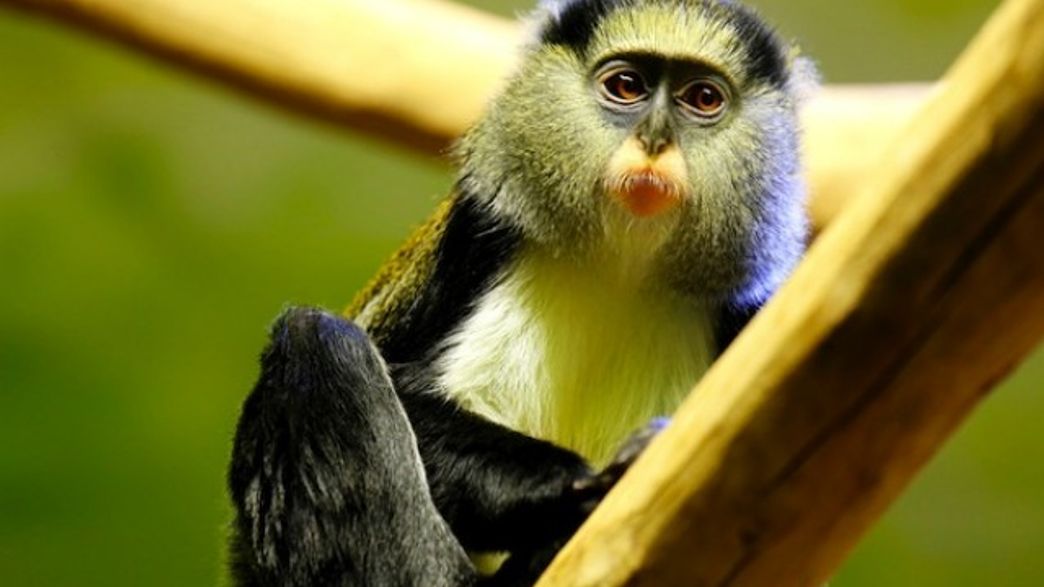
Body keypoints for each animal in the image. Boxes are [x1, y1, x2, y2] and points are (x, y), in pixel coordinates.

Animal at [227, 0, 815, 585]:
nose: (653, 140)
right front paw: (588, 482)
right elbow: (405, 392)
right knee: (316, 338)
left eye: (704, 99)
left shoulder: (753, 309)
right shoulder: (475, 233)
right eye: (626, 86)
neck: (623, 263)